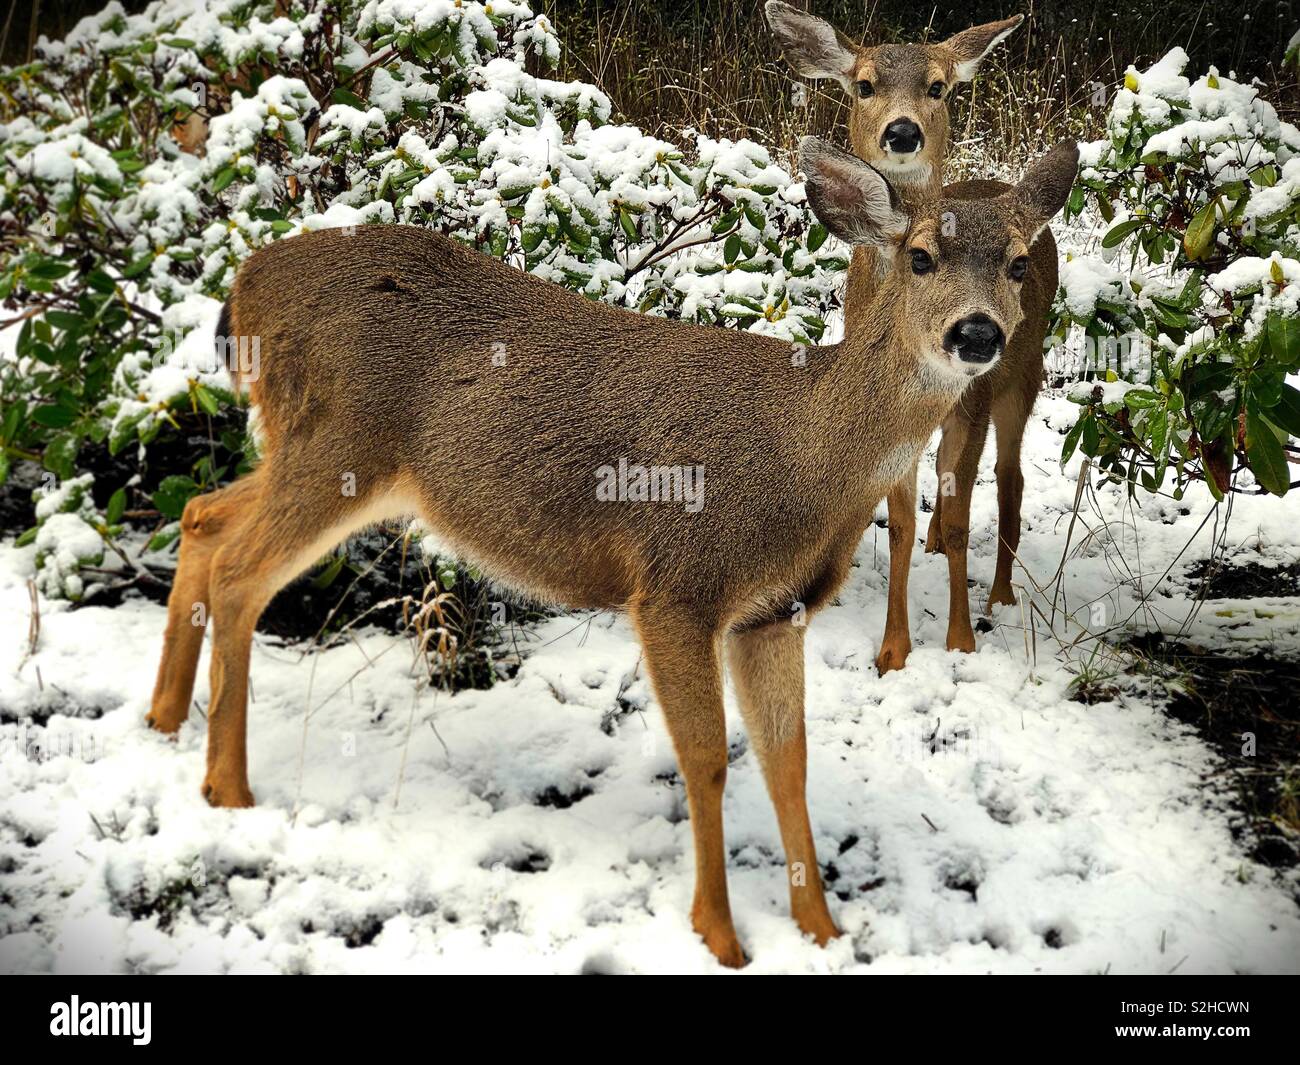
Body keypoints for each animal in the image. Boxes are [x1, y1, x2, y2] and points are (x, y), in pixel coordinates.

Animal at [145, 136, 1077, 967]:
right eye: (920, 257)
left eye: (1017, 264)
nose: (977, 334)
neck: (800, 457)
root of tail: (244, 288)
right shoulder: (674, 585)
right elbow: (707, 758)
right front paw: (721, 936)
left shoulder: (773, 611)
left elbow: (790, 760)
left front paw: (822, 929)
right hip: (339, 439)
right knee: (239, 573)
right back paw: (227, 786)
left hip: (313, 449)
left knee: (200, 515)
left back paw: (164, 720)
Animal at [768, 2, 1061, 674]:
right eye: (864, 84)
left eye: (938, 86)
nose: (902, 133)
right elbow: (900, 521)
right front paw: (893, 650)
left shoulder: (970, 403)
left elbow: (961, 519)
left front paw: (959, 641)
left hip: (1024, 375)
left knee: (1009, 477)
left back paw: (1001, 593)